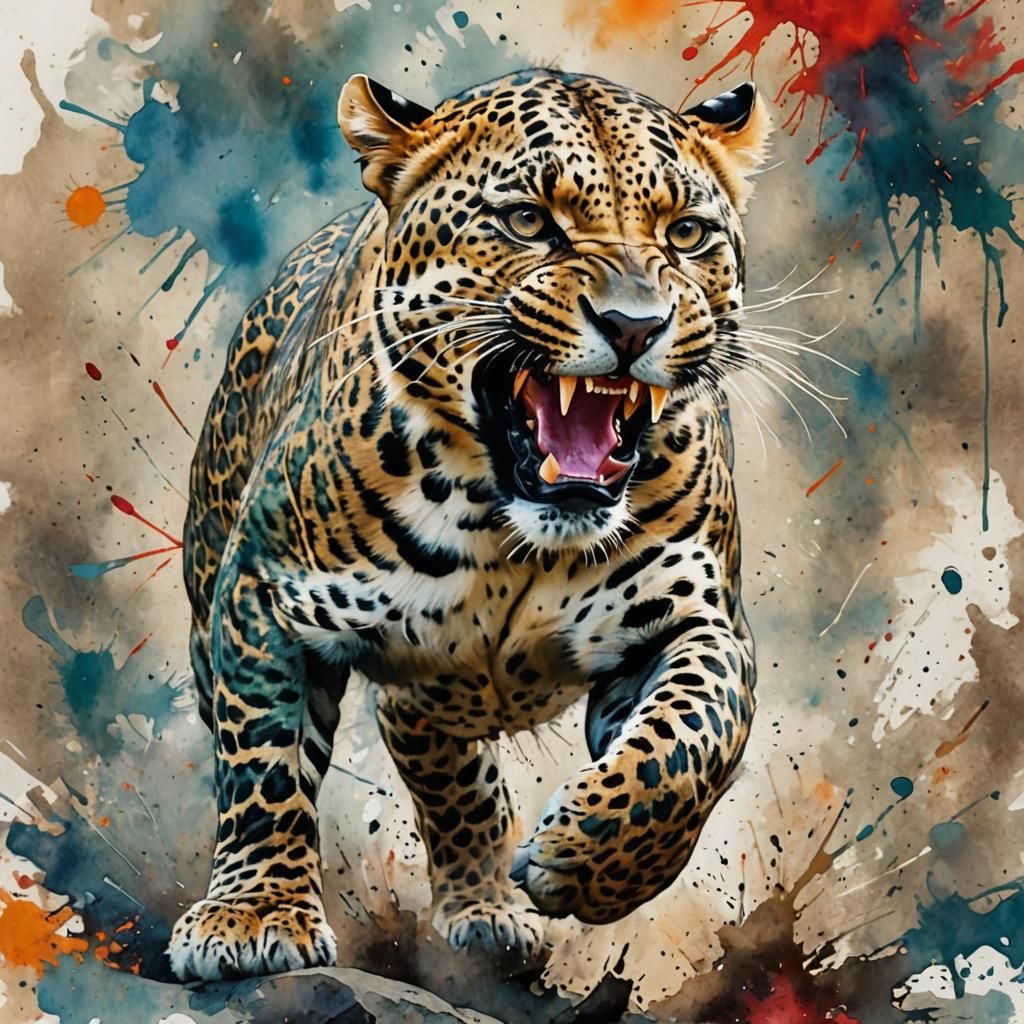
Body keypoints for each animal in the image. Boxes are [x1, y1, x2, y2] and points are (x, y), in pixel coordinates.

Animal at [167, 68, 771, 981]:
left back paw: (487, 909)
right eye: (527, 221)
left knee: (443, 755)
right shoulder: (261, 594)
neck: (511, 537)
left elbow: (693, 737)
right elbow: (264, 764)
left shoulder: (690, 620)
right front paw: (253, 915)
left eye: (687, 232)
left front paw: (586, 861)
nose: (635, 326)